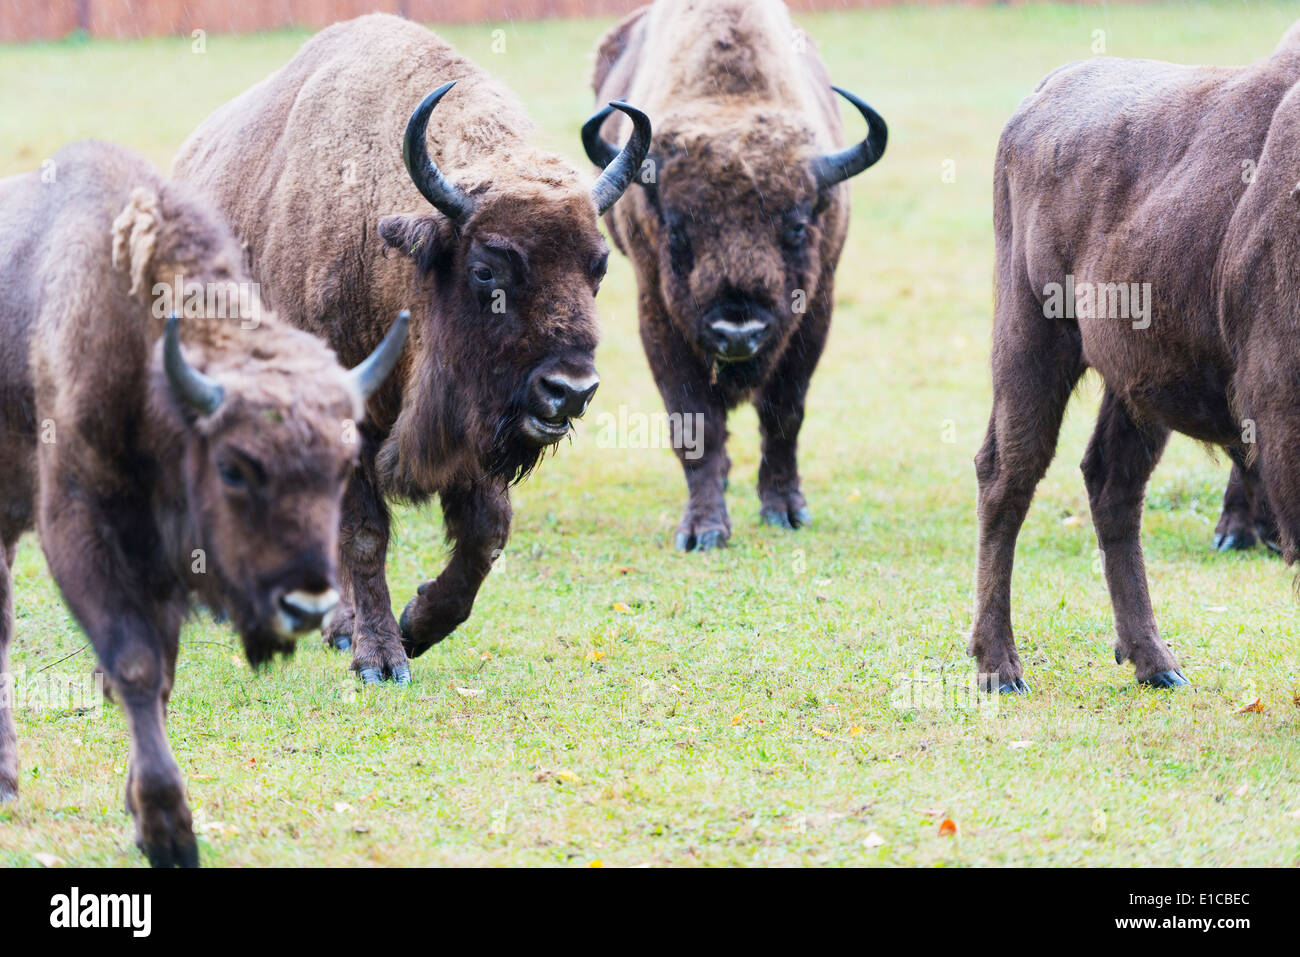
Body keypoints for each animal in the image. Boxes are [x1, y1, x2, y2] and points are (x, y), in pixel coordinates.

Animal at [0, 140, 406, 865]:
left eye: (340, 468)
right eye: (233, 468)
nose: (306, 605)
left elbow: (159, 676)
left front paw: (143, 814)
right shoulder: (79, 532)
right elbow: (134, 665)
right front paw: (168, 829)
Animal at [173, 13, 650, 682]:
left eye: (598, 267)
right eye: (486, 269)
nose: (570, 391)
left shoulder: (473, 432)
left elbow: (485, 535)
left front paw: (416, 625)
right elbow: (365, 535)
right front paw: (380, 658)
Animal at [585, 0, 886, 551]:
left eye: (796, 224)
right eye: (676, 229)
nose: (738, 331)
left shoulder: (815, 310)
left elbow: (784, 412)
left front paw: (785, 511)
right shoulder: (658, 314)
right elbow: (695, 423)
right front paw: (703, 530)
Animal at [971, 23, 1300, 692]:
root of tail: (1042, 97)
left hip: (1136, 382)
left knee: (1110, 482)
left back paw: (1153, 660)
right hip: (1031, 343)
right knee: (1006, 476)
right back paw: (999, 666)